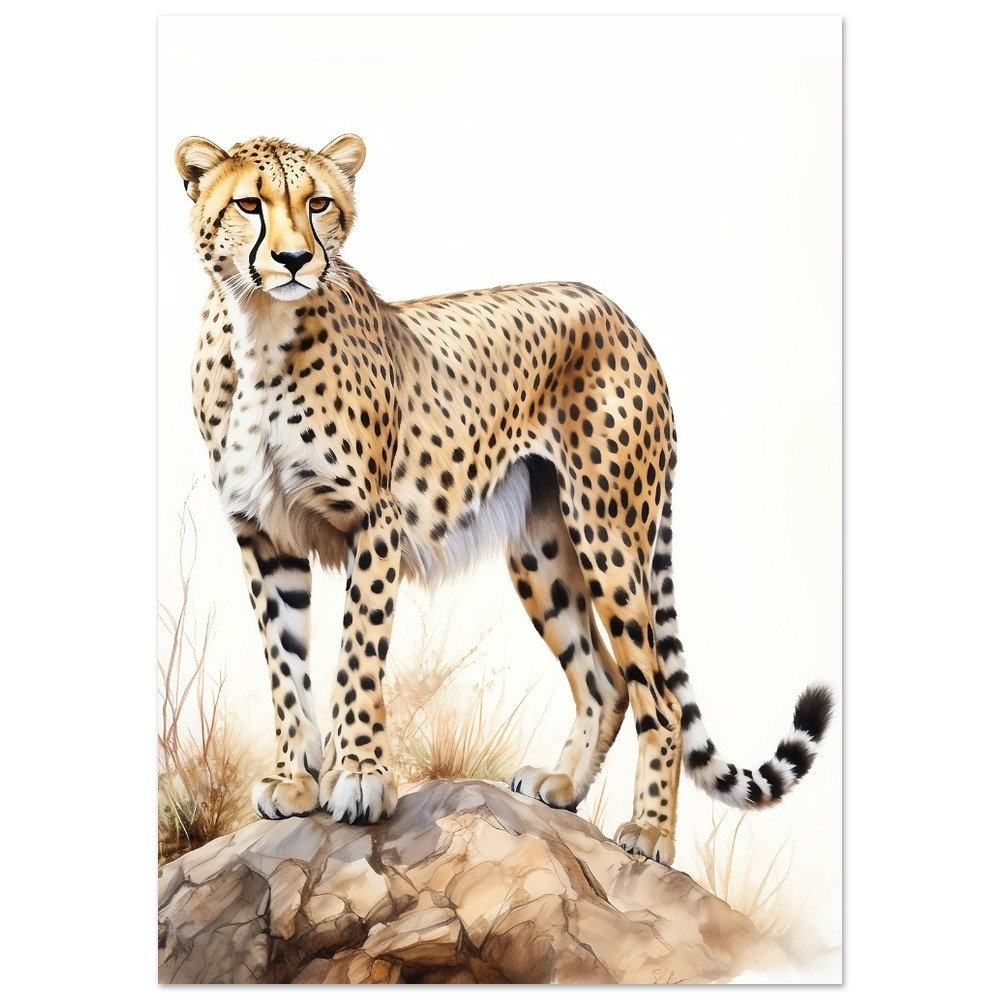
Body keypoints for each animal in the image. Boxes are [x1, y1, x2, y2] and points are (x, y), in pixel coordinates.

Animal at [175, 133, 833, 866]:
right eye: (248, 205)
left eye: (317, 203)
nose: (294, 260)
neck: (259, 329)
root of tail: (622, 315)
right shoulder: (265, 537)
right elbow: (285, 664)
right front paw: (295, 779)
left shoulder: (375, 522)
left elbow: (357, 658)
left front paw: (361, 778)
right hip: (542, 549)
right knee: (606, 681)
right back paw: (562, 786)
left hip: (607, 532)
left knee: (657, 694)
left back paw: (650, 834)